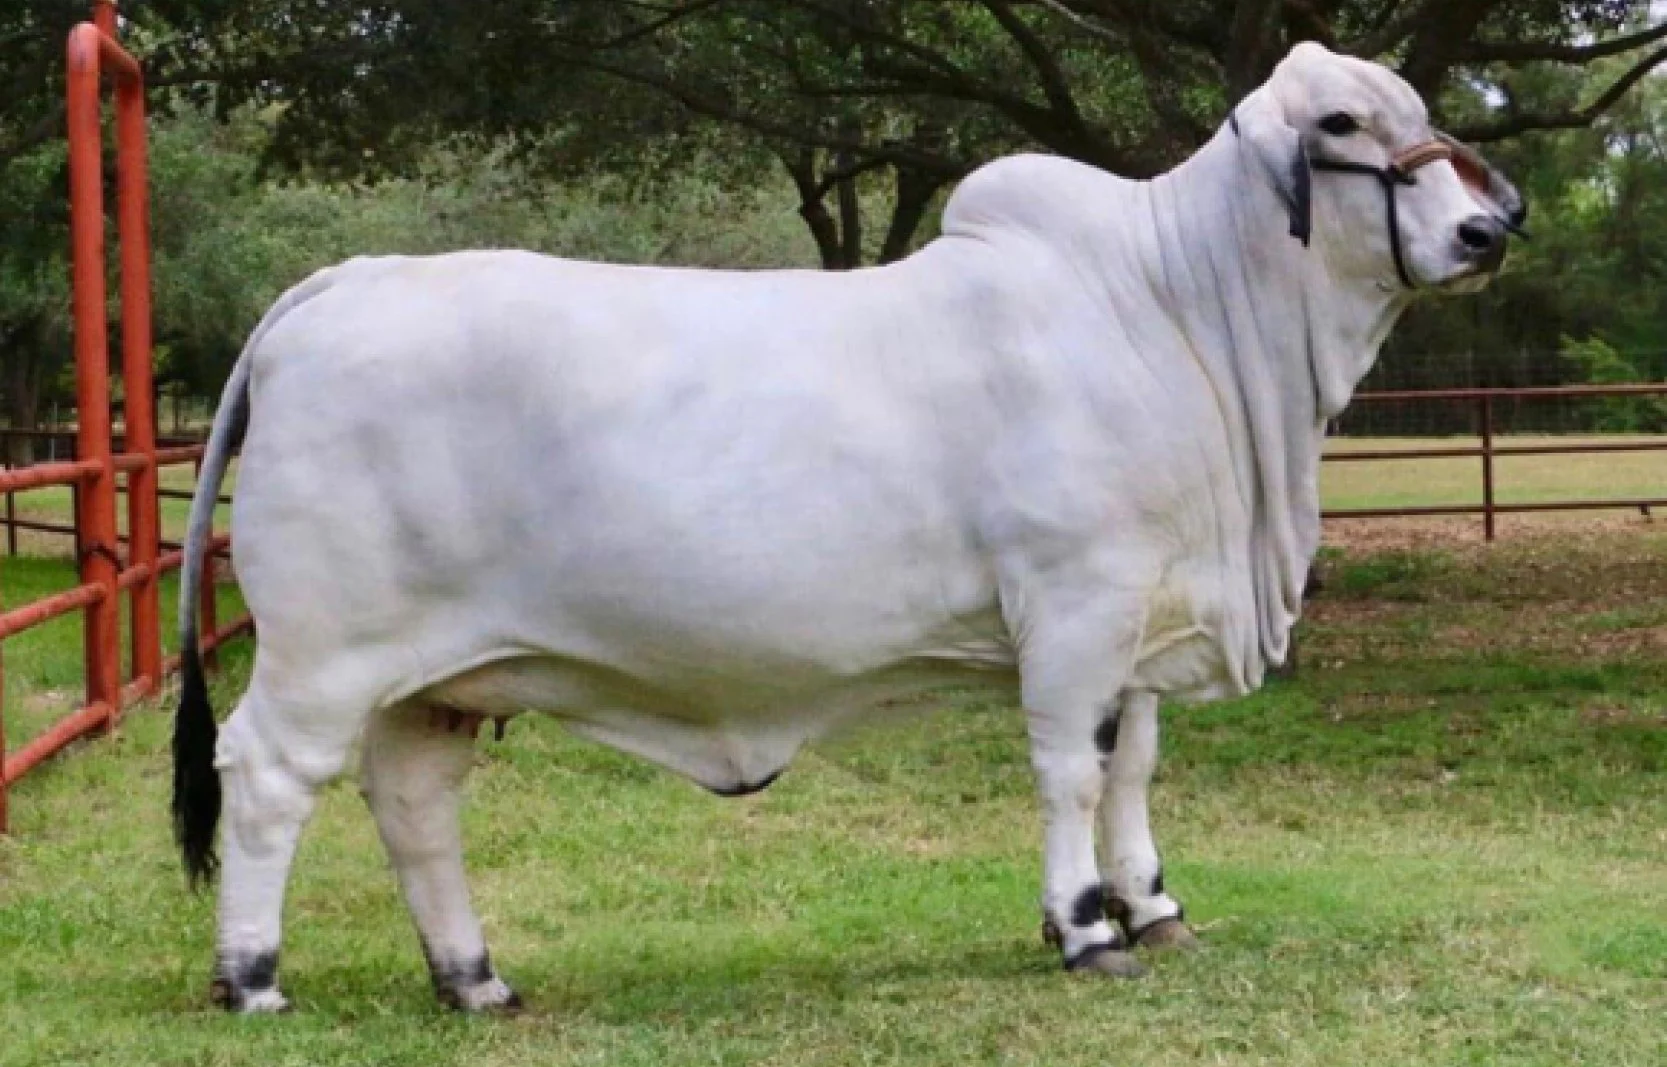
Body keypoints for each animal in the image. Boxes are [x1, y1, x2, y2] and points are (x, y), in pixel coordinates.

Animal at [171, 42, 1524, 1012]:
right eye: (1339, 124)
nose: (1486, 228)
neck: (1171, 308)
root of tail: (339, 282)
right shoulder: (1074, 606)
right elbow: (1069, 768)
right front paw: (1085, 926)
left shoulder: (1142, 613)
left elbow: (1133, 765)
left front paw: (1153, 906)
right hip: (322, 653)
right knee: (265, 777)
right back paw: (251, 978)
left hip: (434, 678)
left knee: (412, 805)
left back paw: (474, 977)